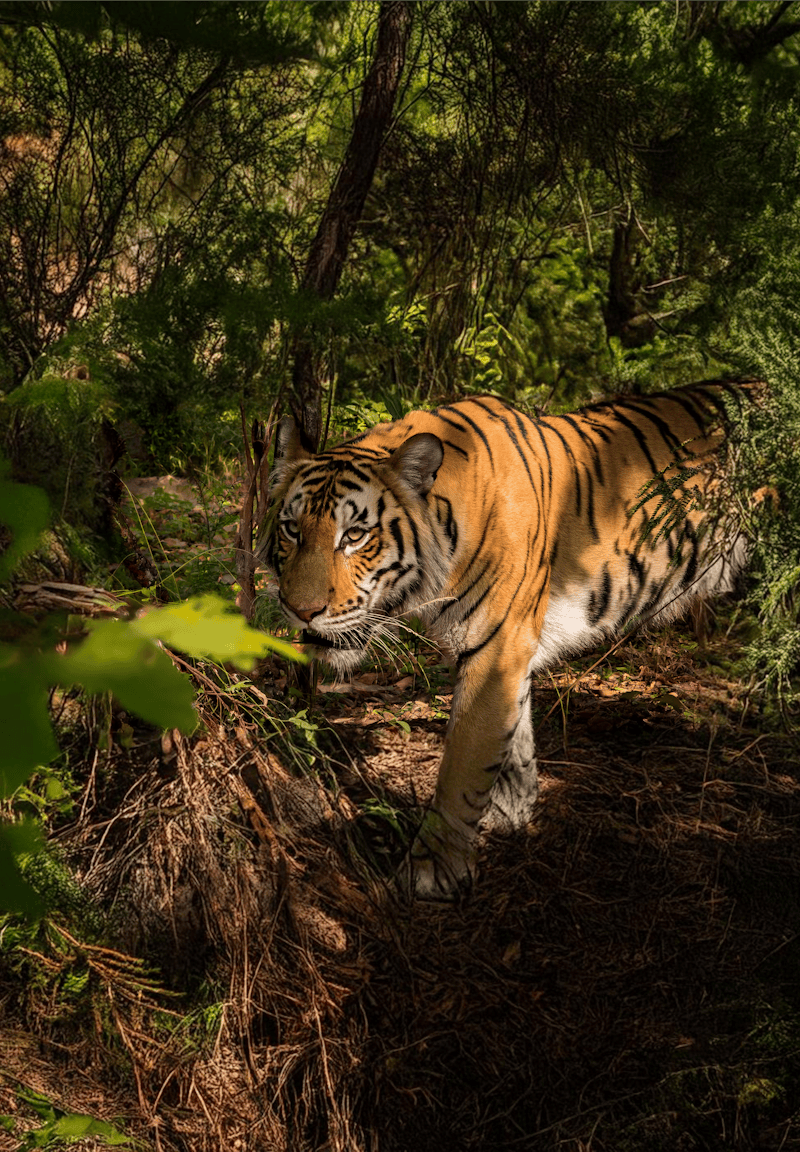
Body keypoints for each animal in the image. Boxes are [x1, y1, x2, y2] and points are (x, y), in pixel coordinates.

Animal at [257, 379, 754, 900]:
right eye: (291, 529)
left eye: (354, 536)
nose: (301, 609)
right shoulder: (508, 650)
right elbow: (513, 738)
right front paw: (509, 813)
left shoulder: (496, 645)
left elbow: (464, 760)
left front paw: (434, 867)